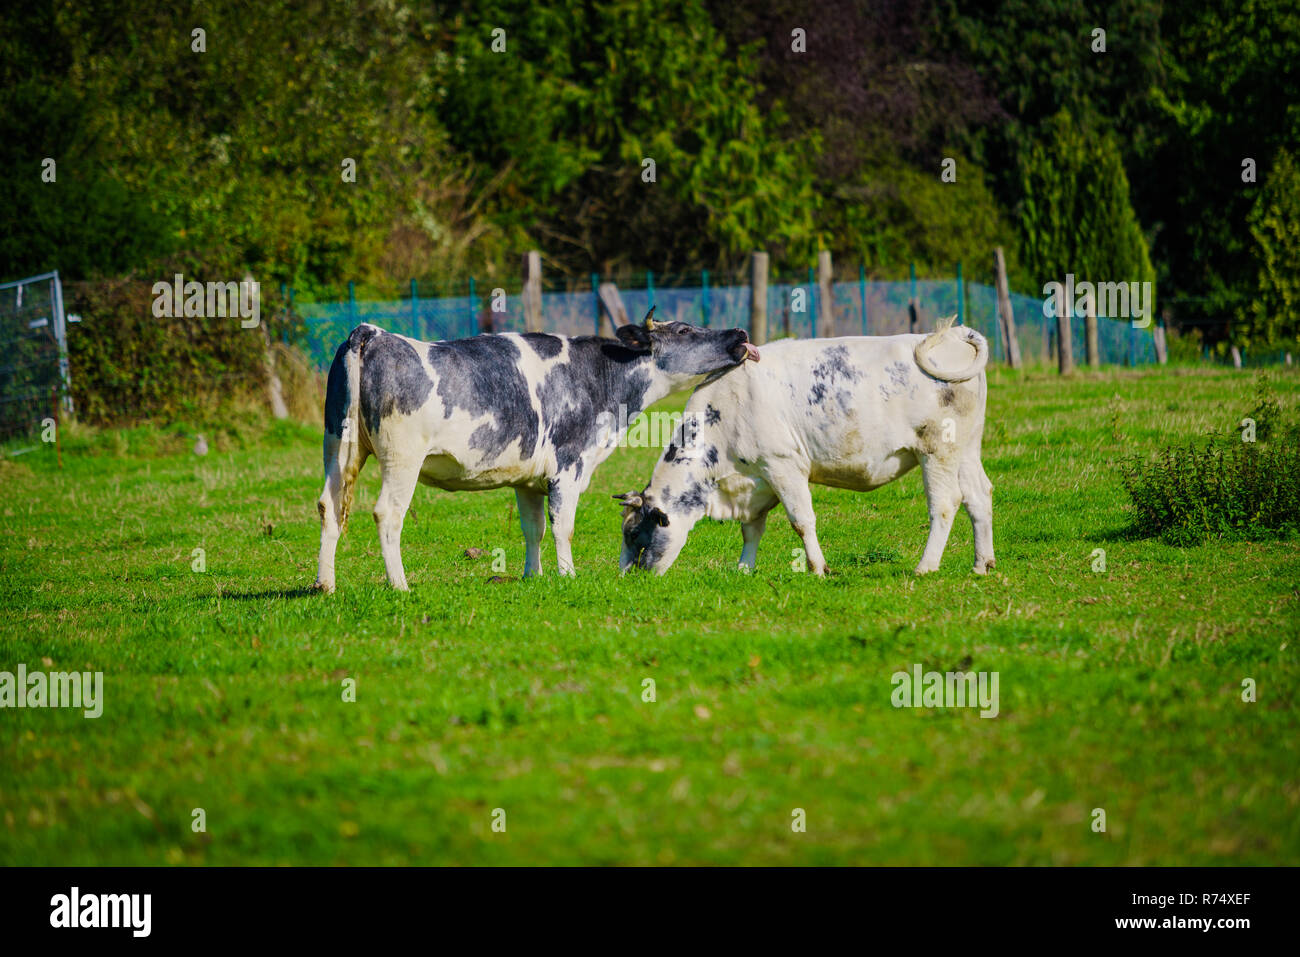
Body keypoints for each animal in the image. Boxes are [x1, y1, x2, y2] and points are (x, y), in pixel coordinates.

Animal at [314, 309, 760, 591]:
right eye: (684, 330)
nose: (740, 334)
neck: (598, 377)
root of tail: (372, 332)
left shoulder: (527, 479)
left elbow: (533, 528)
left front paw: (534, 576)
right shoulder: (569, 466)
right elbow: (563, 525)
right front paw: (567, 575)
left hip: (336, 448)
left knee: (329, 507)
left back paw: (325, 584)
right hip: (401, 458)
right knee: (387, 514)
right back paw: (400, 585)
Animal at [614, 320, 994, 577]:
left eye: (634, 533)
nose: (631, 577)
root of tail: (953, 334)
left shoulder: (783, 466)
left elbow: (802, 521)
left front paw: (818, 567)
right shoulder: (756, 481)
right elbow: (751, 529)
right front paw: (743, 568)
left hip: (937, 451)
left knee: (945, 503)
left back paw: (925, 566)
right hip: (967, 449)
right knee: (979, 495)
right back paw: (982, 564)